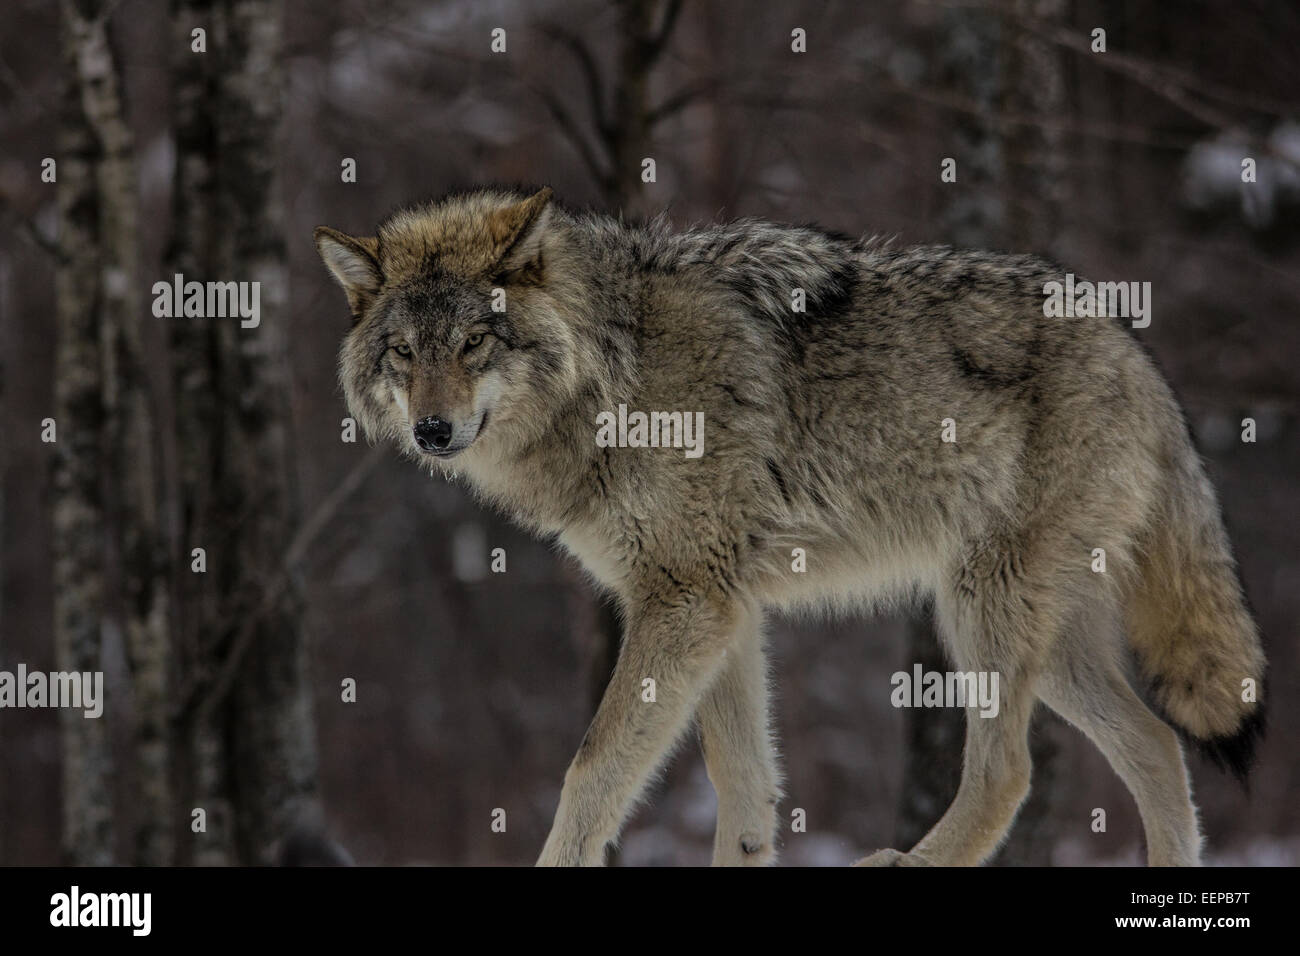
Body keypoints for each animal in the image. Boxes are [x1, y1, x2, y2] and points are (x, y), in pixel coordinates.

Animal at [315, 186, 1266, 867]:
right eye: (404, 352)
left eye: (475, 342)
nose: (433, 430)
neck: (614, 372)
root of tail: (1141, 356)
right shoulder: (723, 609)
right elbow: (742, 790)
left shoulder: (686, 603)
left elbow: (591, 767)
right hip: (1051, 645)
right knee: (1158, 749)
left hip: (980, 611)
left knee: (1010, 771)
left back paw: (904, 865)